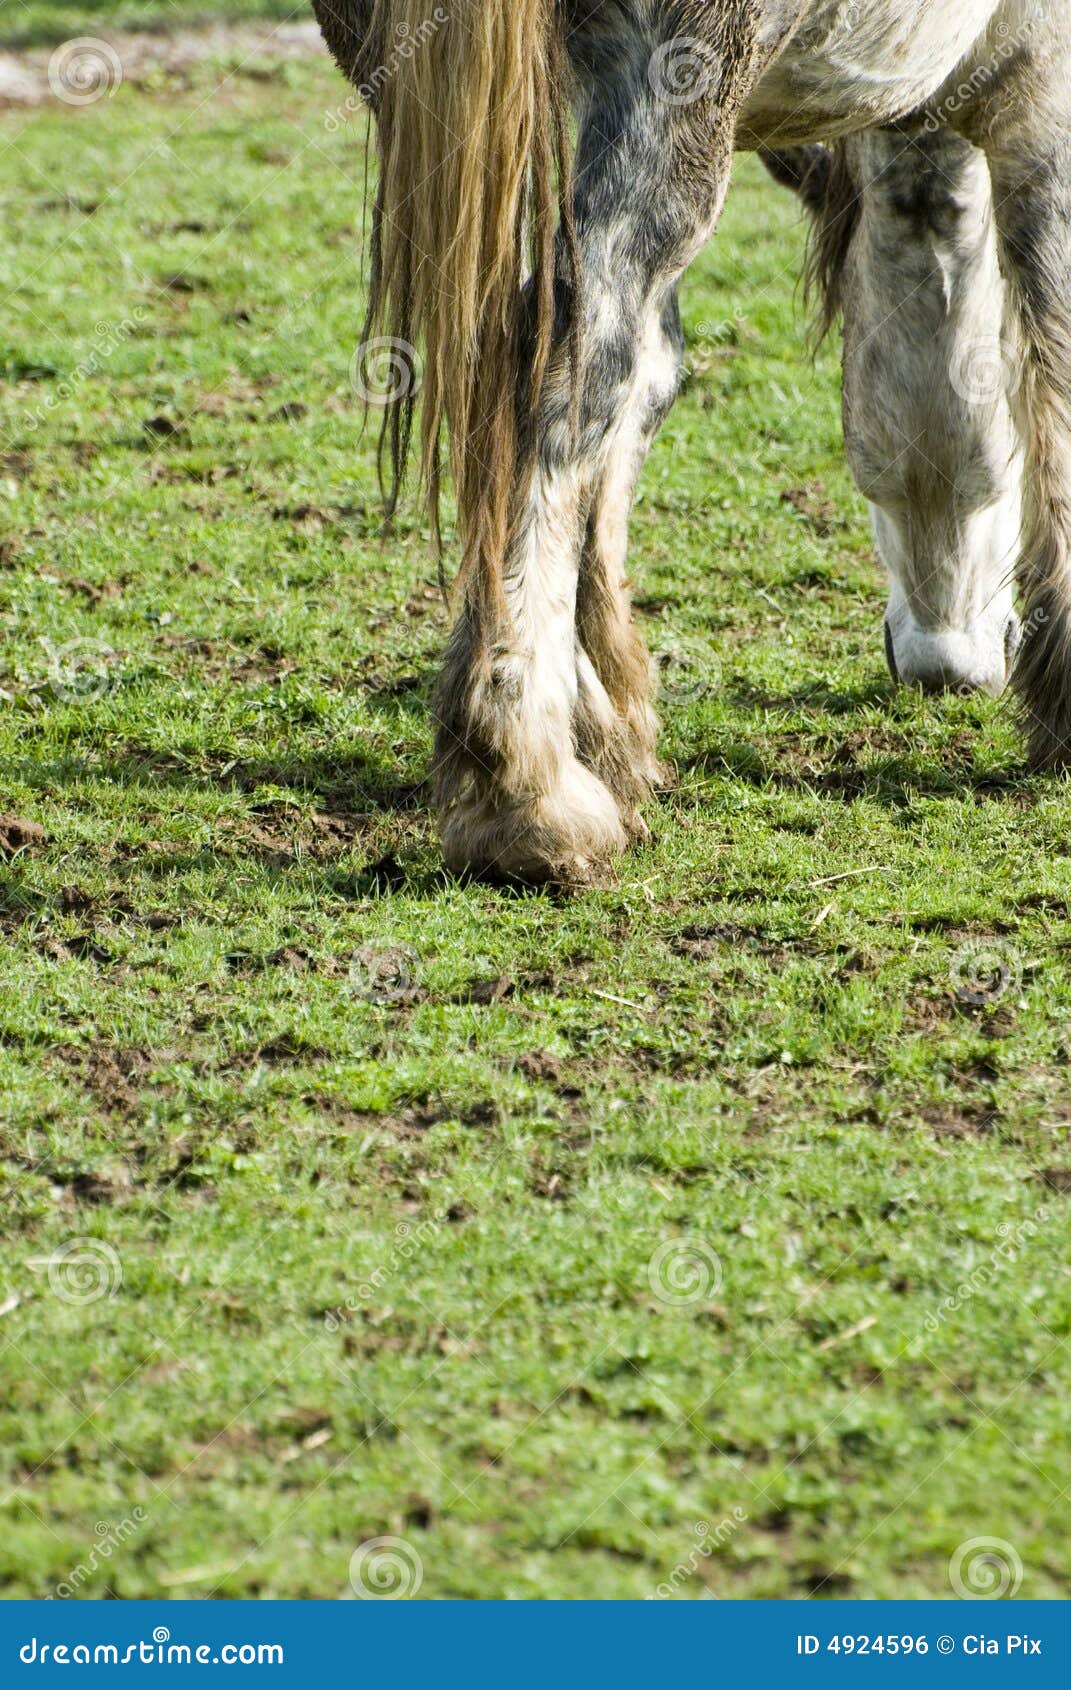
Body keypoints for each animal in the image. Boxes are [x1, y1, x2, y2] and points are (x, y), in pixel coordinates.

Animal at [313, 0, 1071, 886]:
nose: (944, 667)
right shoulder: (1042, 97)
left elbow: (648, 384)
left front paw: (613, 732)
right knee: (570, 351)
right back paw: (528, 802)